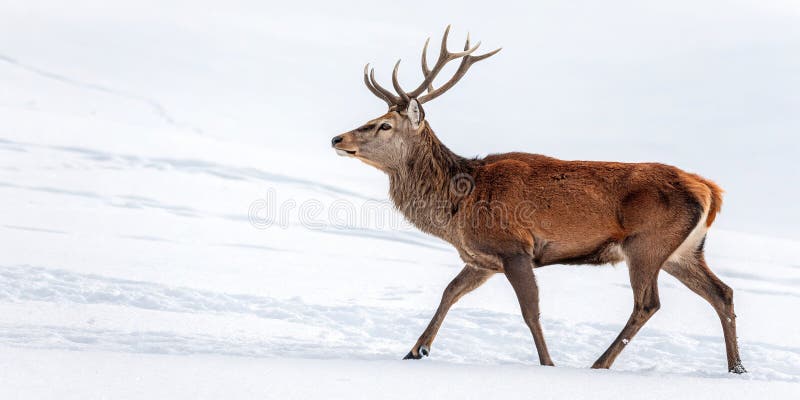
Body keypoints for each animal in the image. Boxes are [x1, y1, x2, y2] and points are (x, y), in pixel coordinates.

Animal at [330, 26, 746, 374]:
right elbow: (449, 292)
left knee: (648, 303)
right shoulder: (482, 258)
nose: (337, 138)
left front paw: (548, 364)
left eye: (384, 125)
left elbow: (530, 311)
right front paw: (416, 350)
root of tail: (711, 190)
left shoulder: (514, 247)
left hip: (646, 243)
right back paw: (737, 368)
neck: (457, 207)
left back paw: (599, 364)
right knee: (722, 293)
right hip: (683, 251)